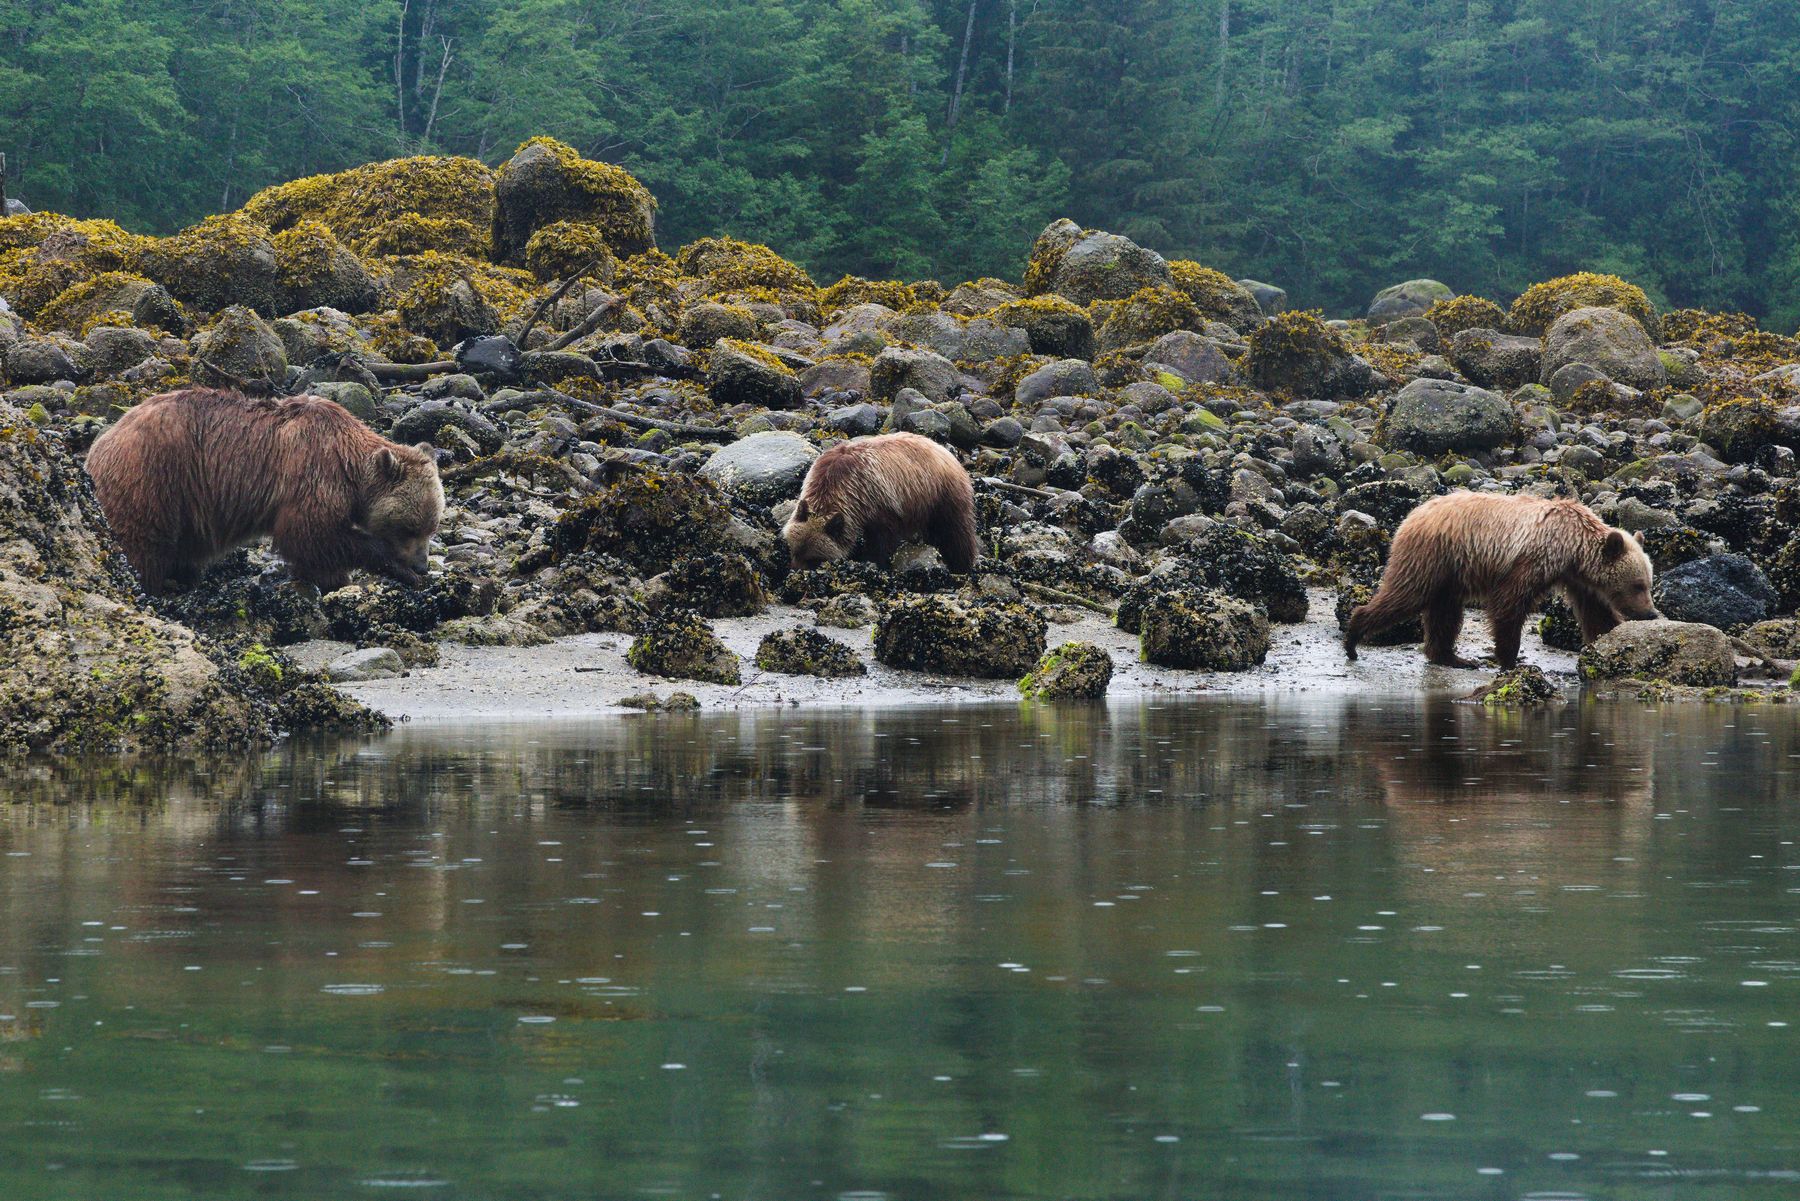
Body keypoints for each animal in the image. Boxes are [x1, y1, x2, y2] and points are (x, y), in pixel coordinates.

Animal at [85, 387, 444, 595]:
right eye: (409, 528)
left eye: (432, 526)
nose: (422, 565)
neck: (349, 467)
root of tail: (100, 444)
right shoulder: (312, 471)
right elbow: (311, 534)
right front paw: (384, 569)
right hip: (152, 478)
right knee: (140, 542)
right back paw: (149, 585)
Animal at [783, 432, 978, 573]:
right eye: (794, 550)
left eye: (814, 558)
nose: (794, 571)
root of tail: (947, 452)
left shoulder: (879, 502)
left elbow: (881, 542)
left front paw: (873, 563)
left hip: (942, 496)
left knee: (956, 533)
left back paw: (962, 566)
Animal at [1343, 491, 1658, 669]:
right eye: (1638, 585)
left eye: (1648, 583)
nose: (1651, 612)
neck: (1573, 547)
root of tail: (1412, 514)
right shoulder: (1534, 558)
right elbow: (1509, 604)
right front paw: (1509, 660)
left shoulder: (1578, 579)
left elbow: (1596, 615)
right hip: (1430, 556)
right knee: (1406, 595)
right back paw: (1353, 637)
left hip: (1449, 571)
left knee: (1445, 612)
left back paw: (1453, 658)